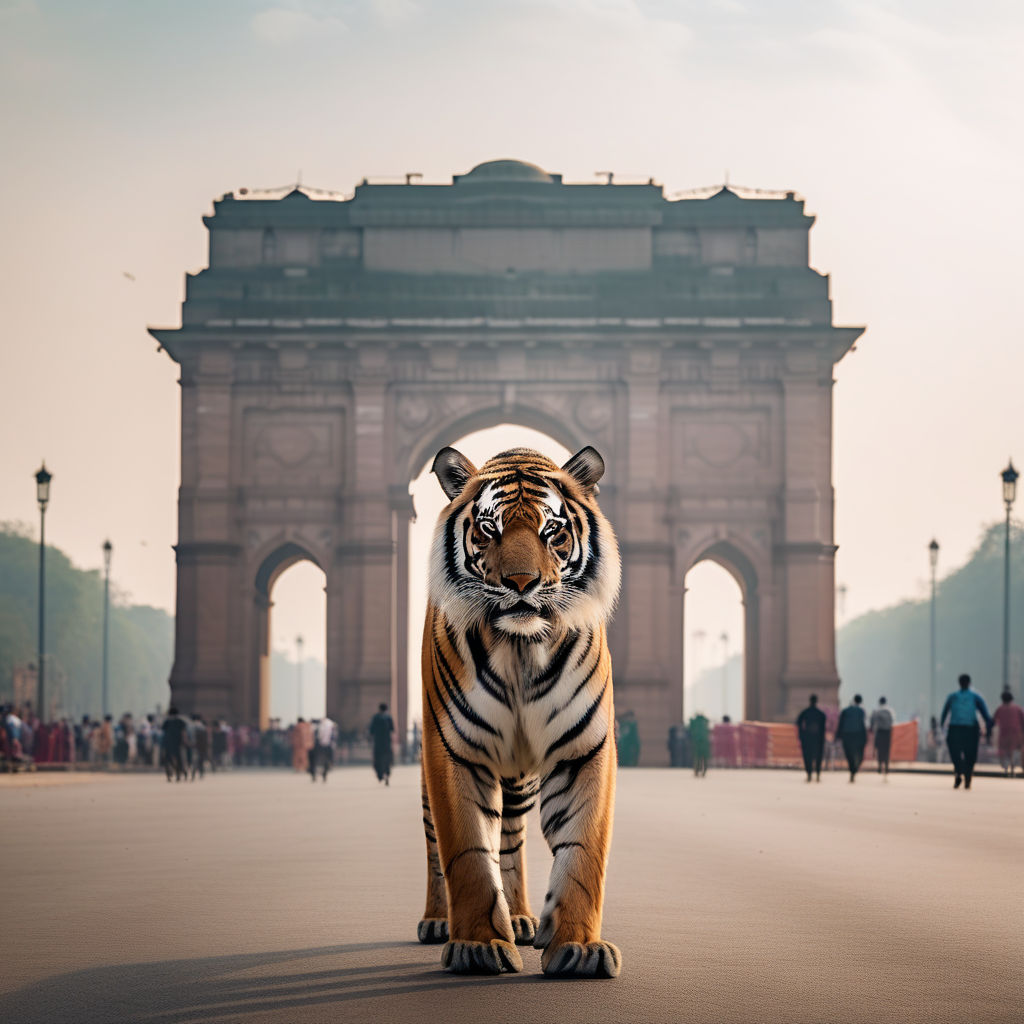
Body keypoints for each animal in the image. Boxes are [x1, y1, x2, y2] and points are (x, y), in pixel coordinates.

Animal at [417, 444, 622, 978]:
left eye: (553, 531)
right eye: (489, 528)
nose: (522, 582)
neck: (520, 650)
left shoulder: (582, 751)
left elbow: (583, 854)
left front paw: (579, 947)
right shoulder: (454, 752)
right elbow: (467, 852)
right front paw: (478, 946)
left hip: (523, 778)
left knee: (510, 839)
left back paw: (524, 919)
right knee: (437, 848)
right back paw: (438, 921)